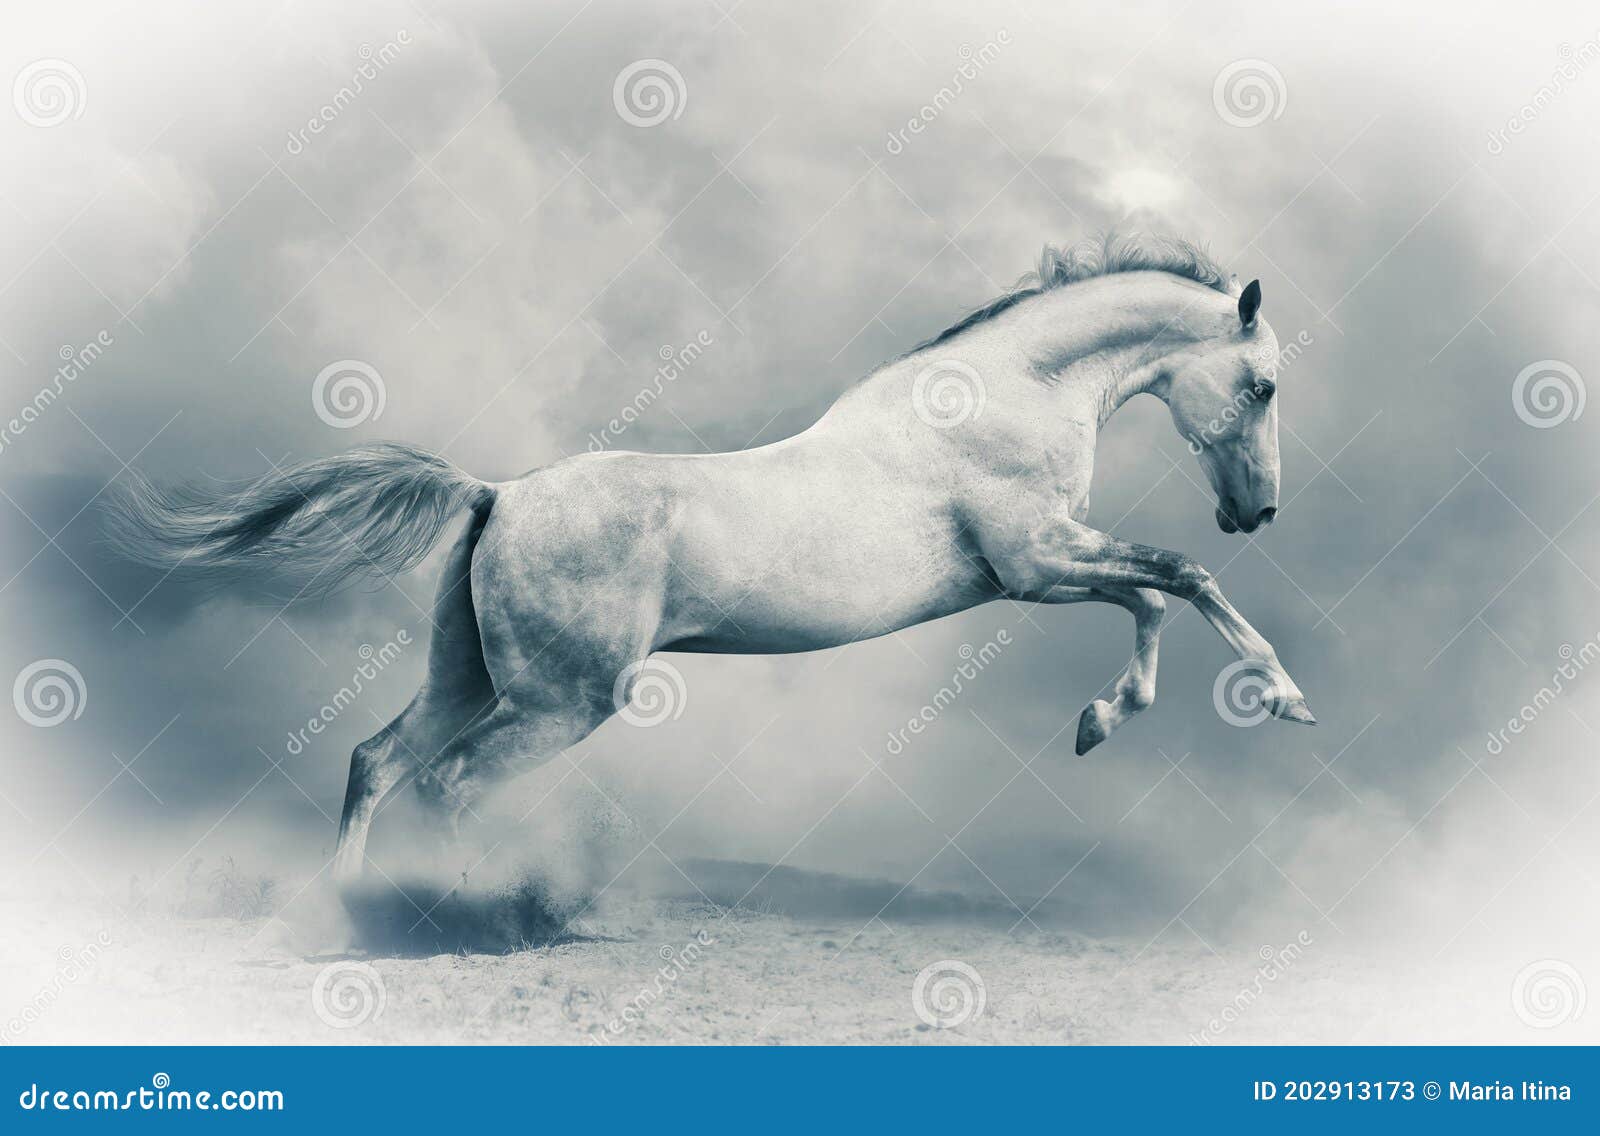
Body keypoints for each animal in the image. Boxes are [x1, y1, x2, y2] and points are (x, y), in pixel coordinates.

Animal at [106, 233, 1314, 884]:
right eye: (1261, 386)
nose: (1256, 512)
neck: (1001, 395)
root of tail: (498, 495)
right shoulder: (1034, 562)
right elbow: (1179, 581)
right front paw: (1283, 697)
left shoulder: (1049, 565)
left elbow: (1156, 599)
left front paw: (1098, 720)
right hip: (561, 700)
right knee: (448, 783)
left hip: (468, 675)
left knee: (377, 761)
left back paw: (352, 914)